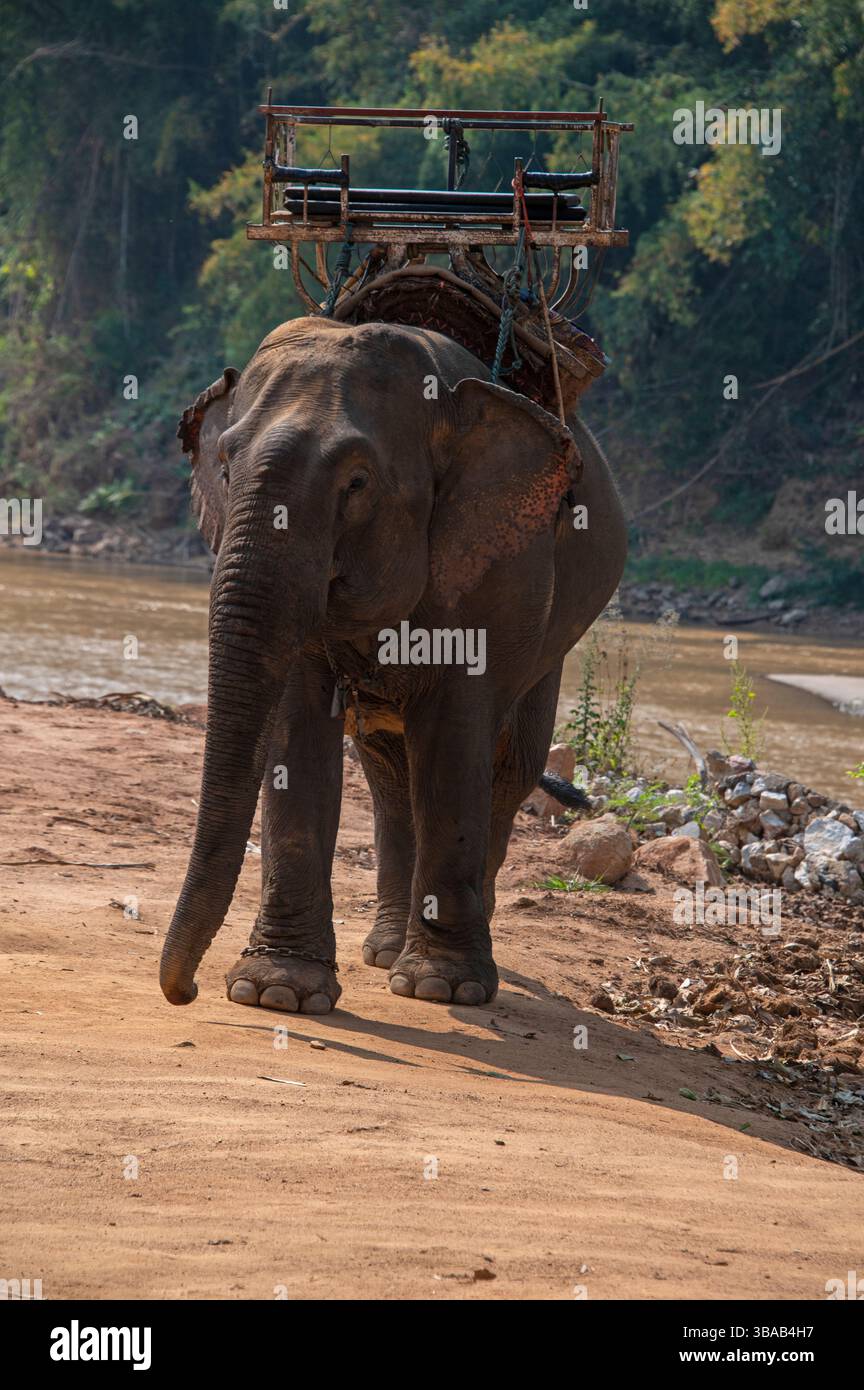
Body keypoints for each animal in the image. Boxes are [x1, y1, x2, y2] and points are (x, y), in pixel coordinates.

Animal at [159, 315, 626, 1015]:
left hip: (554, 644)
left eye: (357, 483)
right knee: (389, 776)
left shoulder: (496, 564)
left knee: (509, 770)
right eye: (224, 465)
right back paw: (384, 950)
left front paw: (443, 987)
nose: (184, 992)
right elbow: (298, 732)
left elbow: (456, 738)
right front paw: (276, 992)